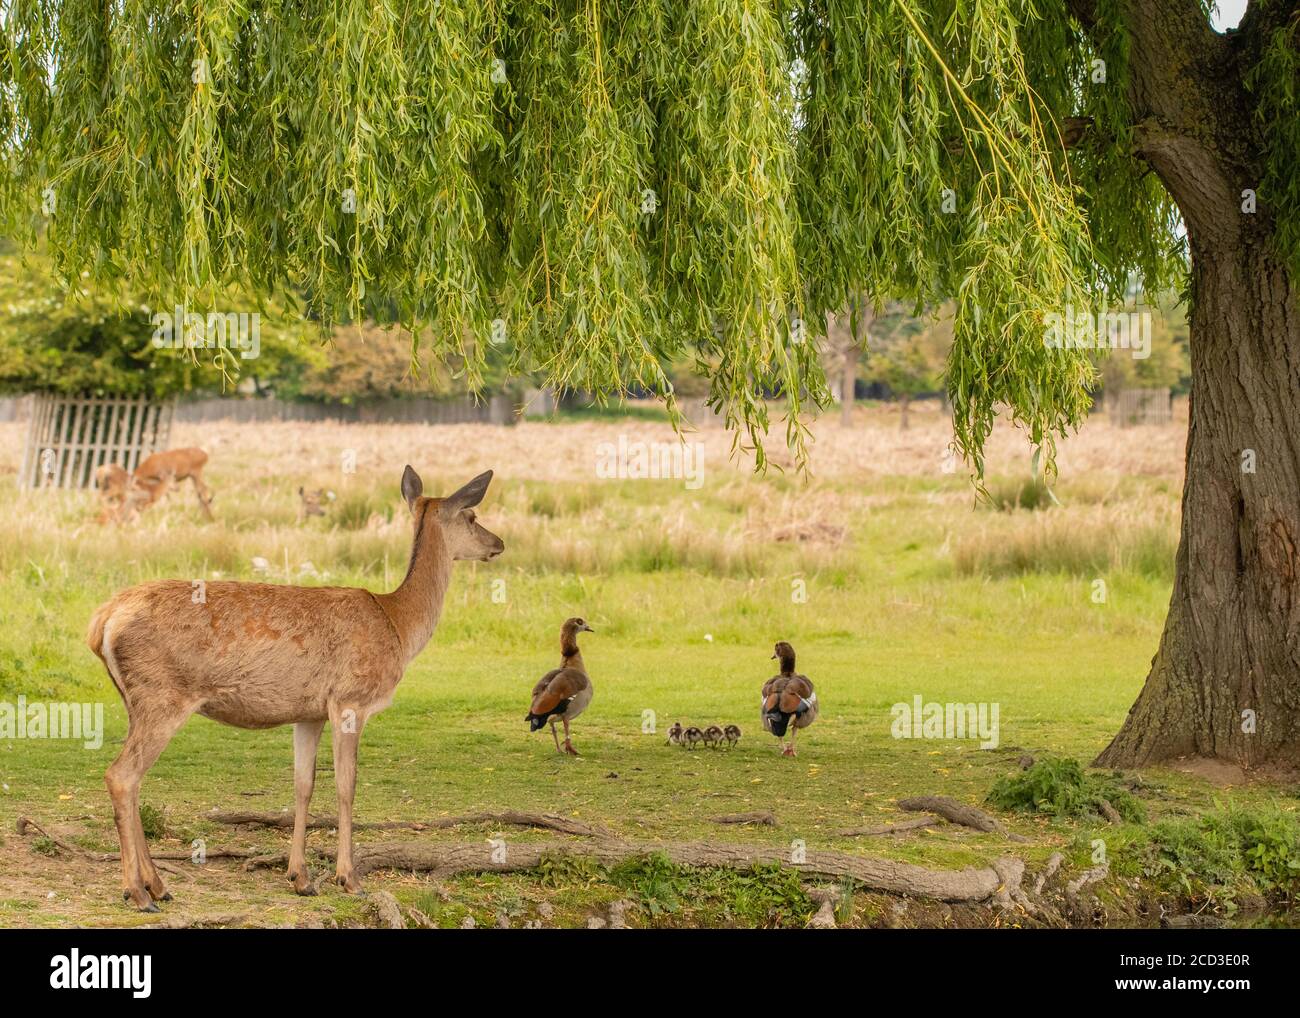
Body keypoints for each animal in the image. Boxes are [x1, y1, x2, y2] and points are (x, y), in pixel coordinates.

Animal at [86, 466, 503, 910]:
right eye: (472, 517)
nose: (499, 543)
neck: (398, 624)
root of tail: (102, 621)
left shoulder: (309, 713)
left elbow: (304, 786)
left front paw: (300, 876)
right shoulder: (350, 699)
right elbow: (346, 785)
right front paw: (348, 878)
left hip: (134, 699)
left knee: (134, 779)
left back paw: (158, 885)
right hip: (162, 695)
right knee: (122, 775)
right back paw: (137, 891)